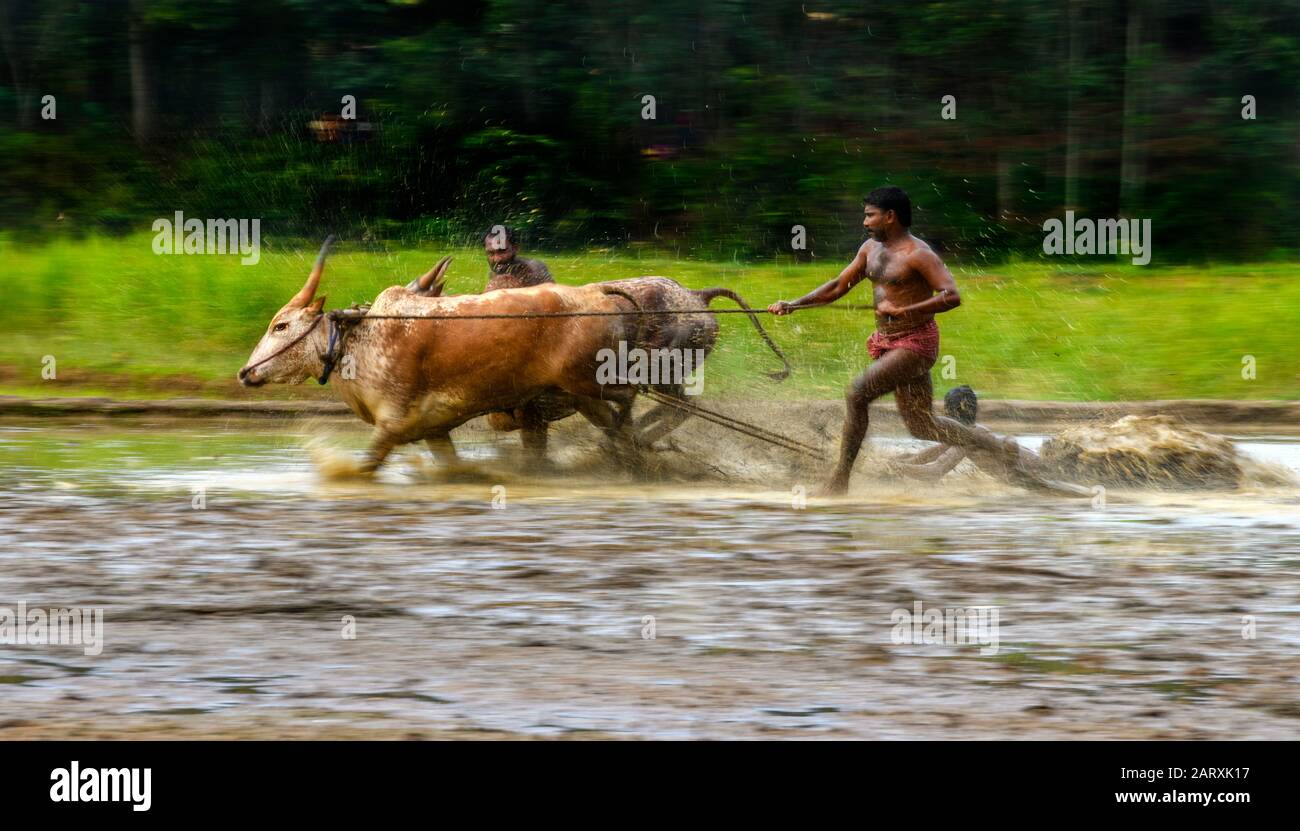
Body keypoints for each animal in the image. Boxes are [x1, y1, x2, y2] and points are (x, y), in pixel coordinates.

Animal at [238, 239, 641, 473]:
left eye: (280, 326)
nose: (244, 373)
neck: (358, 342)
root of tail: (598, 294)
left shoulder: (391, 427)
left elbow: (364, 470)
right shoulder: (433, 431)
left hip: (589, 380)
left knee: (631, 400)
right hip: (578, 395)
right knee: (617, 425)